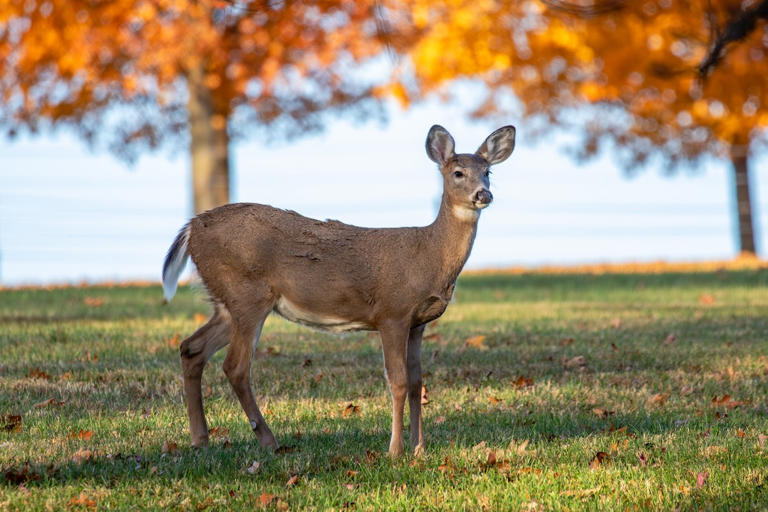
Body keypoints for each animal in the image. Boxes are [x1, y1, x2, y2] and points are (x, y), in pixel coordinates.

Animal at [161, 124, 516, 457]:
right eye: (458, 172)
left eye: (488, 172)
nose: (483, 195)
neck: (429, 254)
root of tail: (190, 229)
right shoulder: (392, 311)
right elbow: (398, 381)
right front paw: (395, 450)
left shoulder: (419, 322)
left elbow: (418, 383)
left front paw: (420, 449)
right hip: (247, 293)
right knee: (235, 366)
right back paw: (268, 441)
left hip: (227, 301)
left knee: (192, 348)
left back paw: (200, 439)